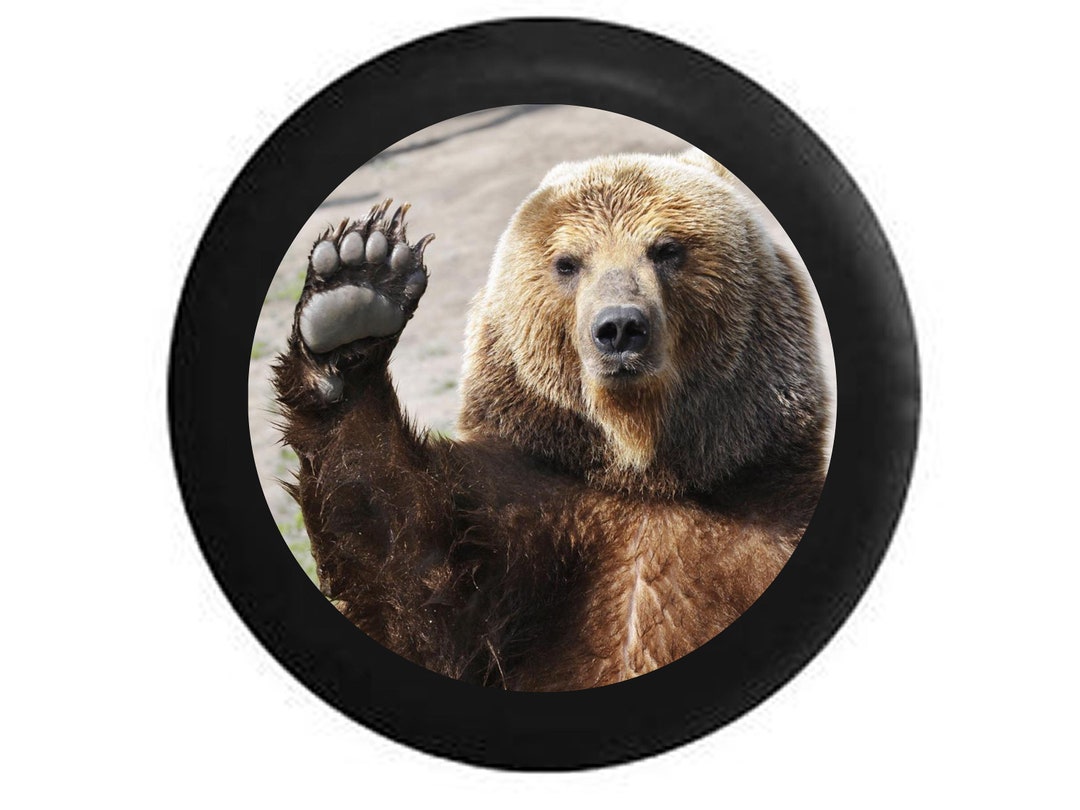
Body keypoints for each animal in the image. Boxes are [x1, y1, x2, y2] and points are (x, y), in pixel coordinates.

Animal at [272, 150, 830, 691]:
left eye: (667, 249)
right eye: (567, 262)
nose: (620, 327)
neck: (644, 471)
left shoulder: (763, 526)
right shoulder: (523, 524)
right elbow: (407, 569)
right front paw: (356, 289)